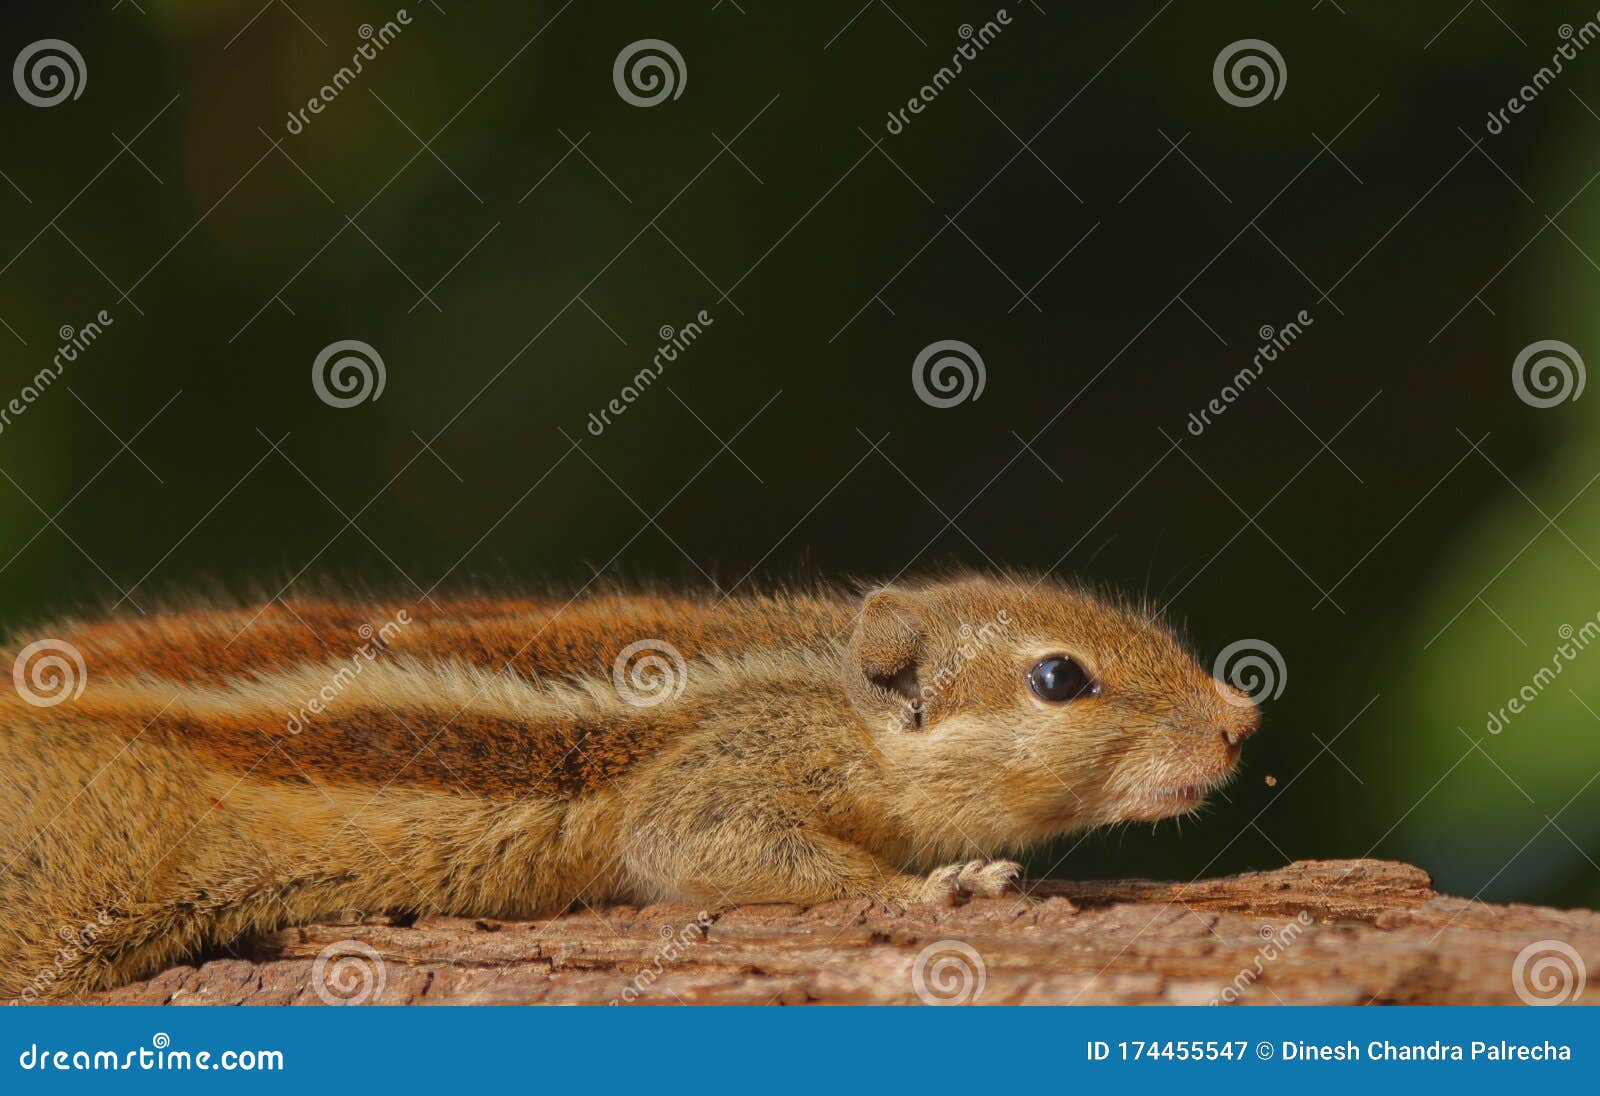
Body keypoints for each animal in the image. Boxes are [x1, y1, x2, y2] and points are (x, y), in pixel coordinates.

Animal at [0, 574, 1259, 997]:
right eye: (1059, 676)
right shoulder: (725, 766)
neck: (827, 691)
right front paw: (931, 888)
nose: (1238, 724)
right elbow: (692, 843)